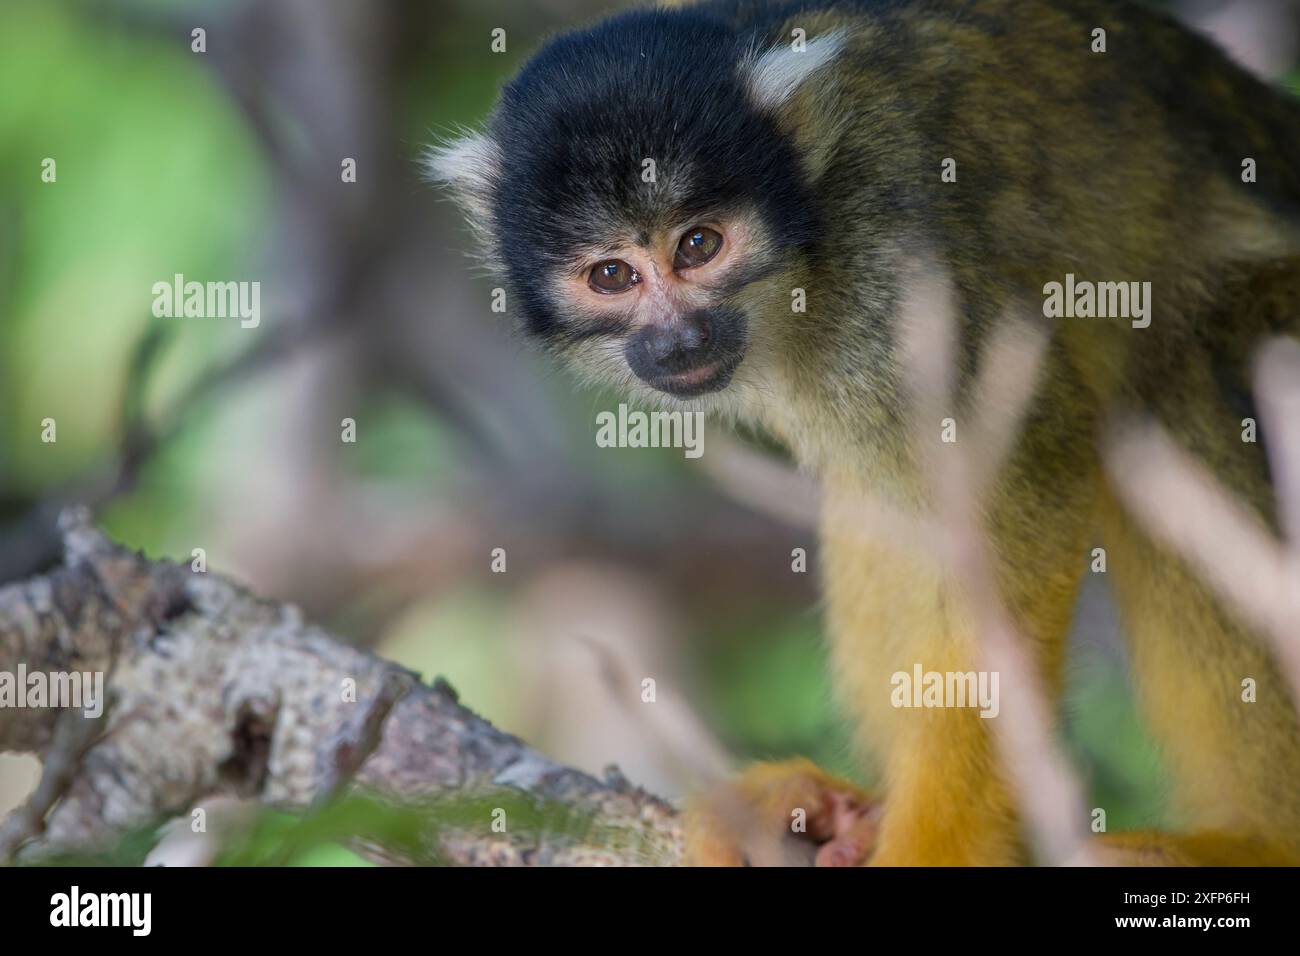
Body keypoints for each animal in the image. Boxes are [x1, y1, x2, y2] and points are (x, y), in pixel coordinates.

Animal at [429, 0, 1300, 865]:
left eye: (698, 245)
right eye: (612, 276)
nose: (678, 341)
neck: (812, 251)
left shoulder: (903, 261)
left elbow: (1019, 502)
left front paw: (930, 846)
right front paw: (871, 813)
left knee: (1186, 376)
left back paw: (1259, 838)